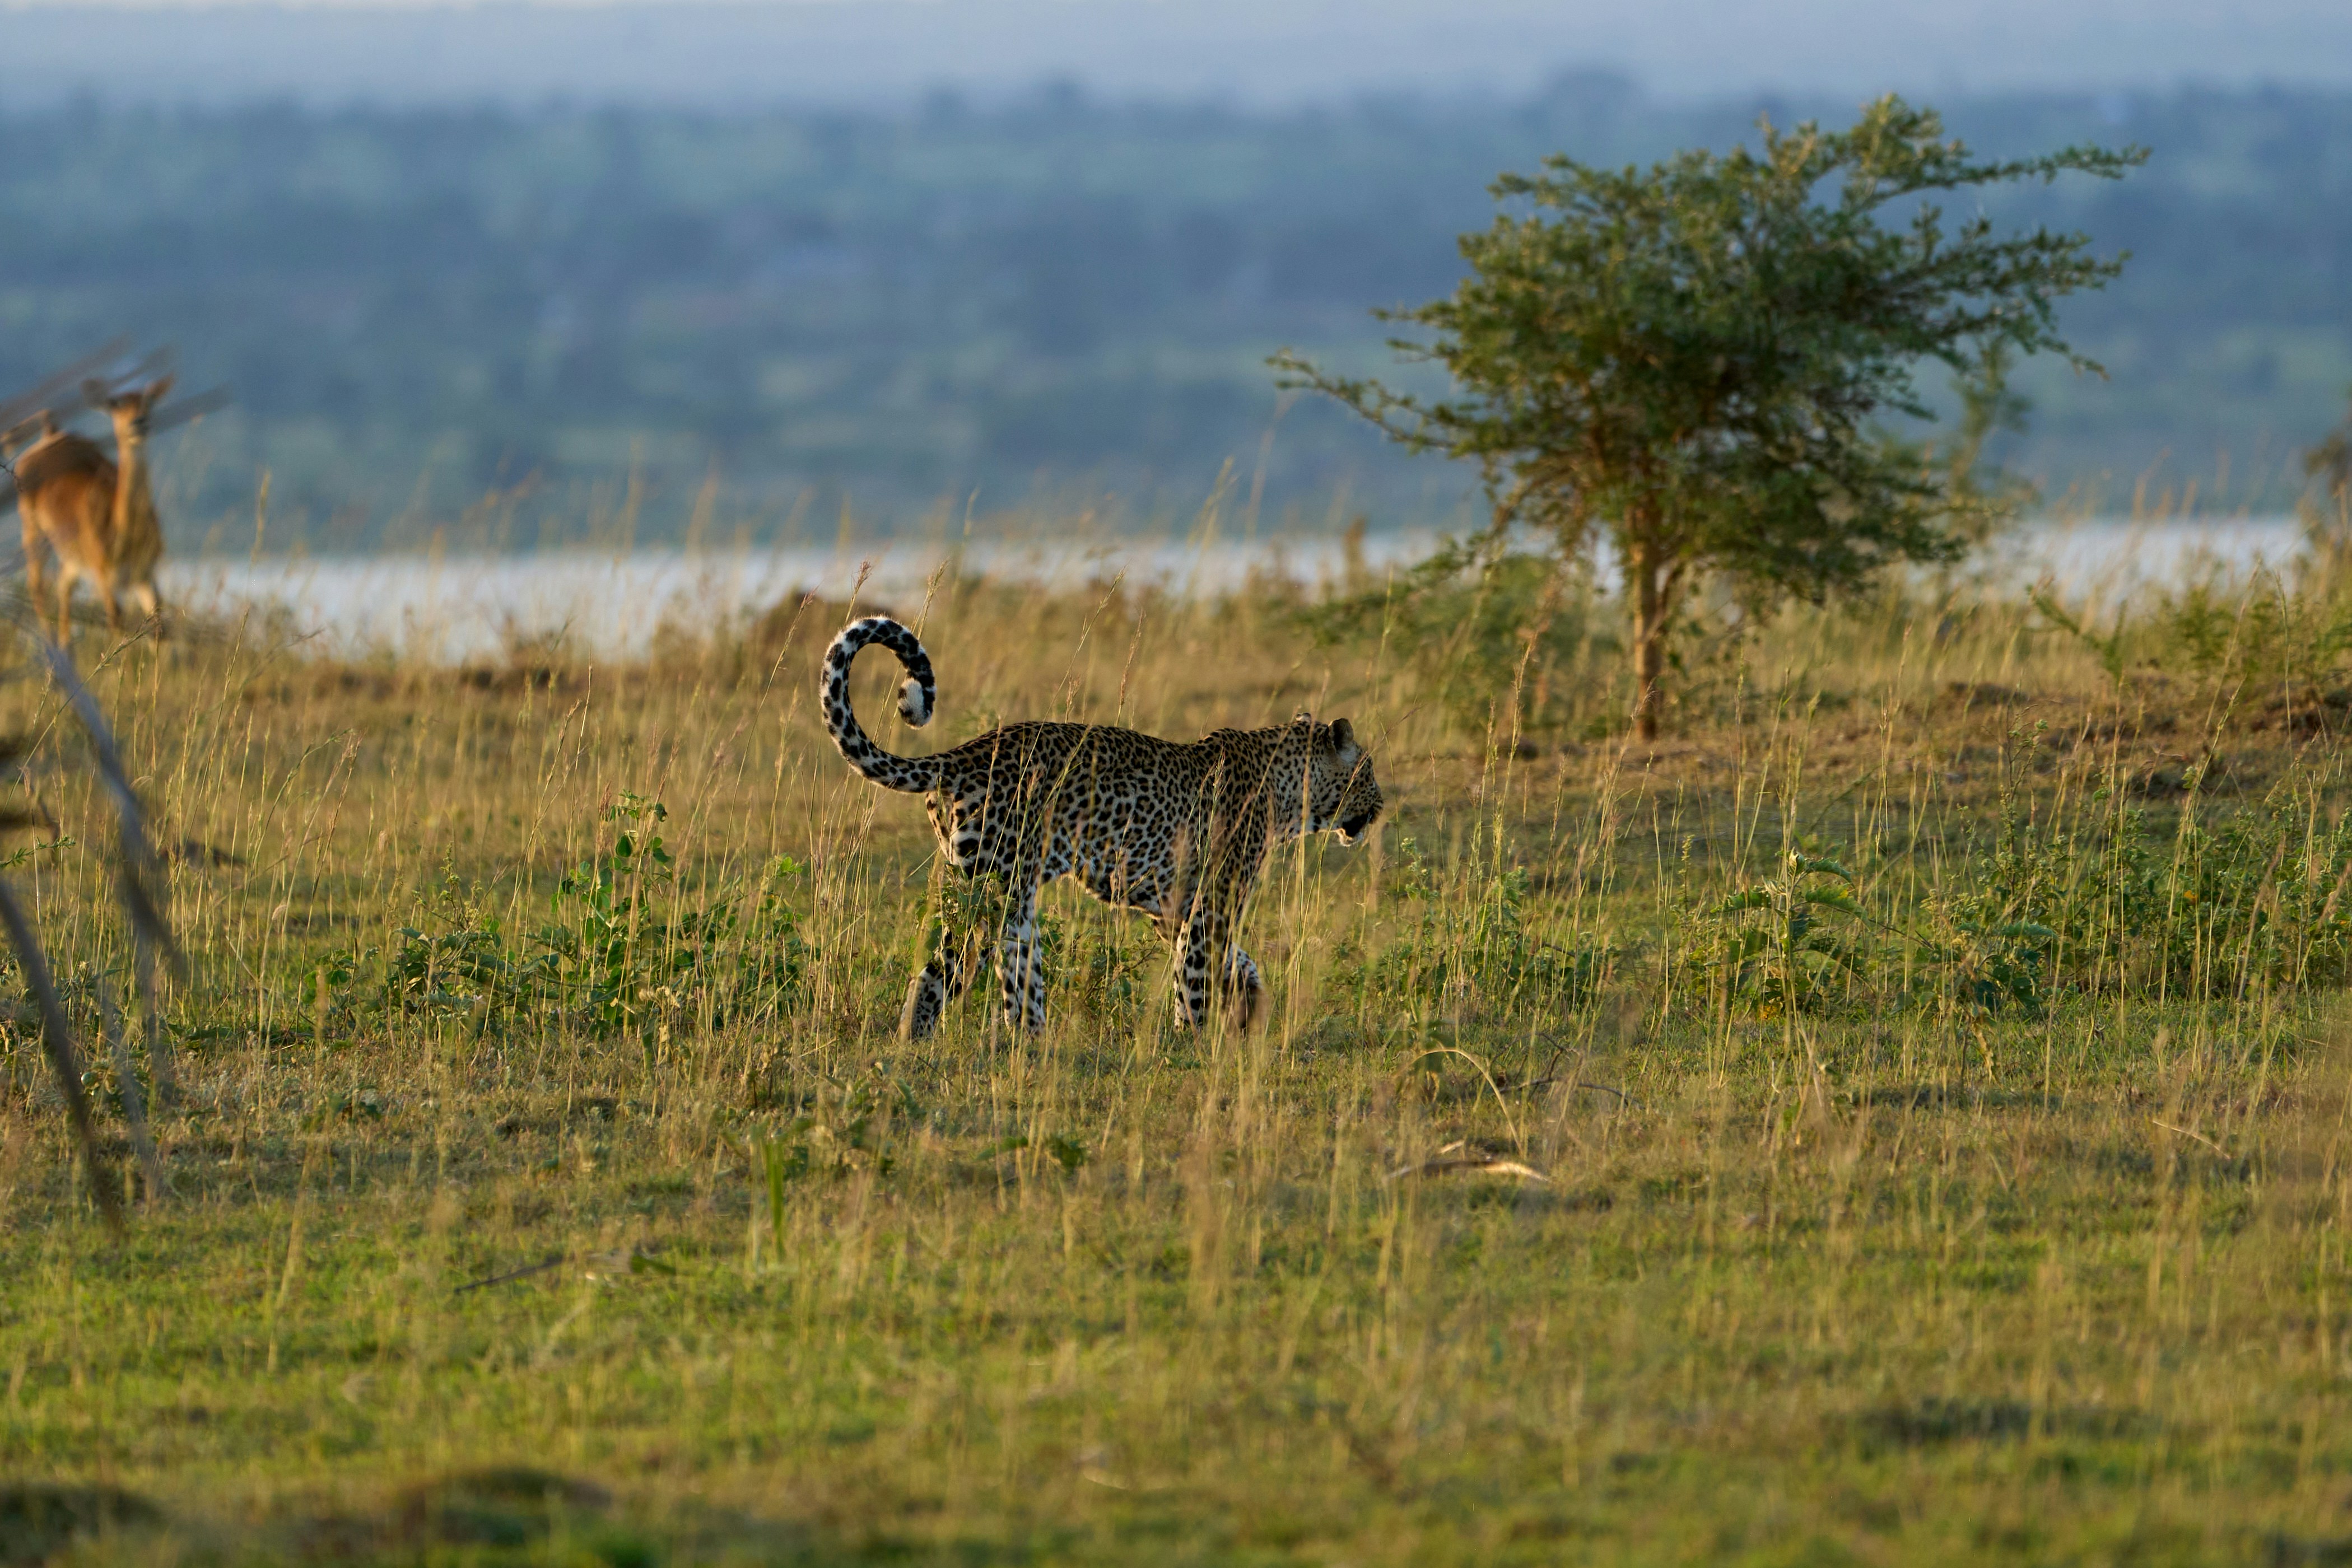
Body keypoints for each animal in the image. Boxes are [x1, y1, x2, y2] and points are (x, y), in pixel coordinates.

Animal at [821, 615, 1384, 1039]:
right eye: (1369, 771)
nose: (1381, 806)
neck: (1287, 788)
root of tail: (962, 754)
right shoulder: (1211, 902)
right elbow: (1199, 976)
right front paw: (1197, 1043)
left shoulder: (1173, 906)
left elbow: (1220, 963)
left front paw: (1245, 1002)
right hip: (991, 888)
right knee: (939, 973)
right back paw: (913, 1046)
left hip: (1013, 903)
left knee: (1016, 987)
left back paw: (1032, 1047)